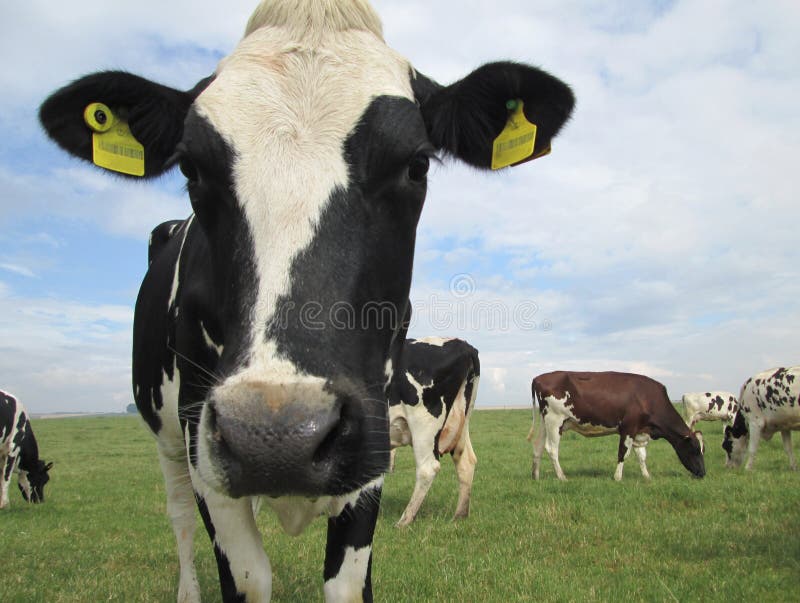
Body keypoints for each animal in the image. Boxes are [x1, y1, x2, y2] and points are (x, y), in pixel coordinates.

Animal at [387, 337, 479, 527]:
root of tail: (465, 346)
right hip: (462, 420)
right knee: (466, 462)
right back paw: (459, 515)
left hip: (424, 424)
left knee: (427, 468)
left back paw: (404, 521)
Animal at [529, 371, 705, 481]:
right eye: (695, 450)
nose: (703, 473)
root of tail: (539, 378)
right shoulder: (628, 428)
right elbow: (623, 453)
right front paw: (618, 477)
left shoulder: (639, 431)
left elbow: (641, 456)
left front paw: (647, 476)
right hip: (555, 420)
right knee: (551, 449)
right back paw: (562, 477)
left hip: (546, 422)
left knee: (537, 446)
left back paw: (536, 476)